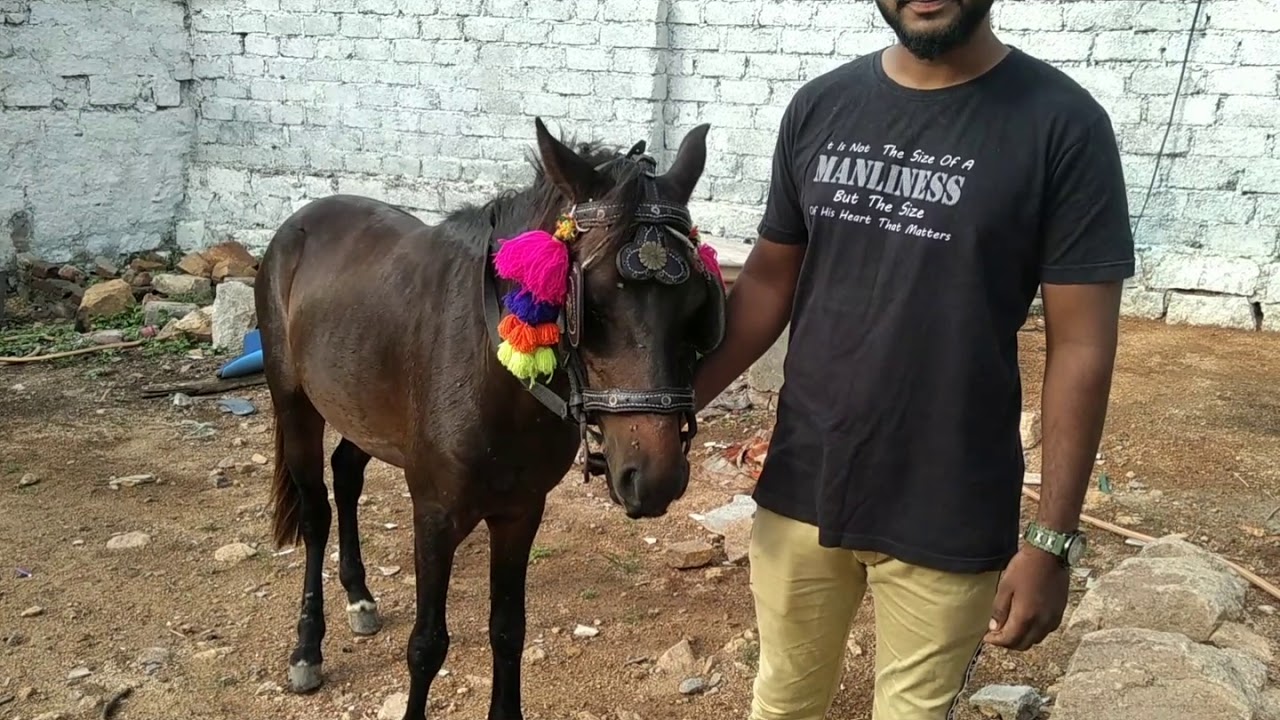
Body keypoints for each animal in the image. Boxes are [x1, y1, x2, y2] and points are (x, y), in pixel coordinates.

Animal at [255, 117, 725, 720]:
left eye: (696, 307)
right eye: (589, 304)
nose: (655, 477)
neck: (494, 373)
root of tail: (299, 224)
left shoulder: (521, 511)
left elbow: (508, 629)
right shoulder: (434, 516)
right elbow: (427, 645)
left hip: (363, 409)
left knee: (348, 472)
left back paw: (359, 597)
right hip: (295, 403)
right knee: (316, 512)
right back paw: (308, 647)